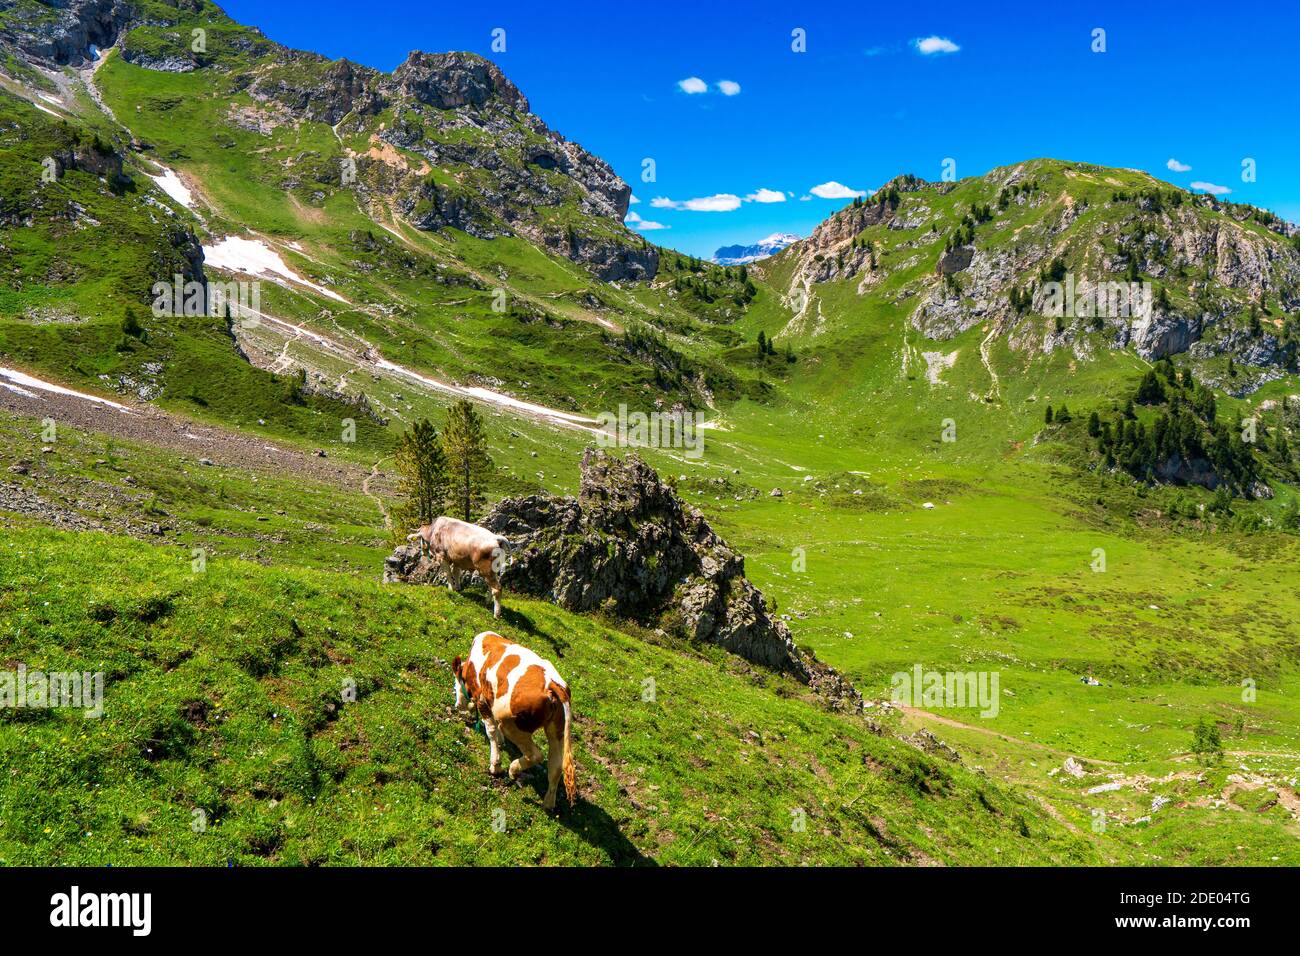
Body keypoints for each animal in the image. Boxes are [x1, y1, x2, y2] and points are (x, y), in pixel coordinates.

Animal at [452, 630, 575, 812]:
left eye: (456, 683)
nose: (458, 706)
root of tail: (553, 684)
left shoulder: (483, 701)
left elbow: (491, 732)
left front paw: (495, 765)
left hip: (512, 725)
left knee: (535, 754)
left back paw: (513, 769)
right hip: (556, 730)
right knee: (556, 766)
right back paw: (548, 804)